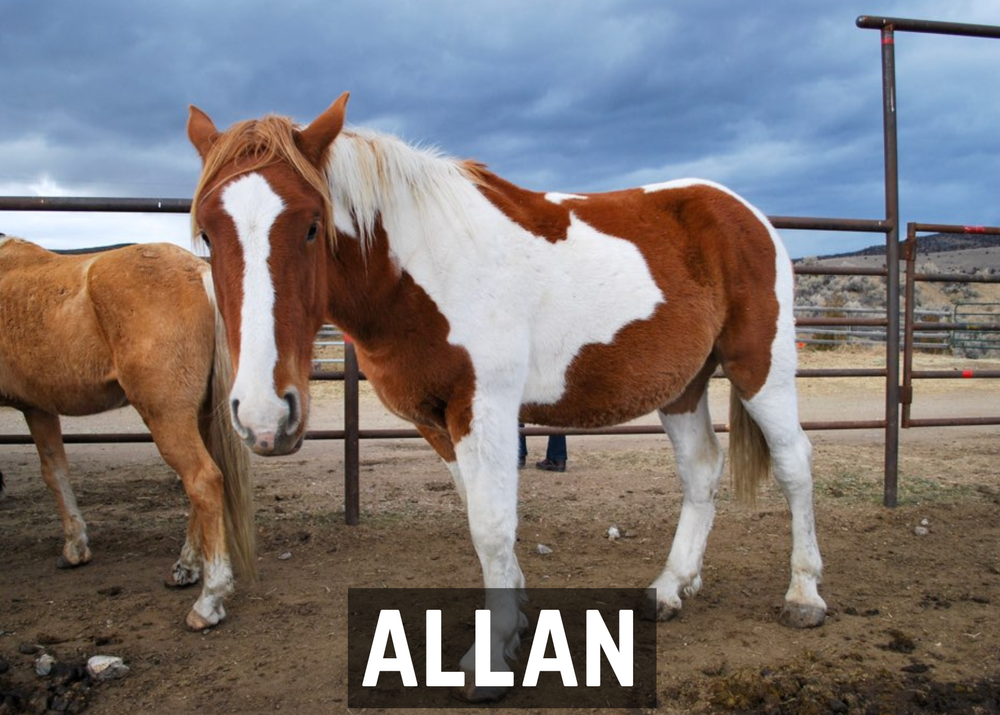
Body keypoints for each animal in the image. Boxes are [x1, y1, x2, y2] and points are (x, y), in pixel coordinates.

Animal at [0, 237, 256, 630]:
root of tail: (198, 271)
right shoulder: (38, 407)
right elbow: (55, 471)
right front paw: (75, 547)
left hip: (166, 415)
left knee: (203, 480)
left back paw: (208, 600)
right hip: (196, 413)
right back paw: (185, 568)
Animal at [186, 93, 826, 698]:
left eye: (312, 224)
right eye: (207, 235)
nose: (265, 417)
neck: (420, 269)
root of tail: (747, 214)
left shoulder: (484, 406)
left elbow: (491, 525)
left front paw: (489, 664)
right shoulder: (438, 422)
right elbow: (479, 515)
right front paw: (512, 625)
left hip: (759, 367)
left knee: (794, 464)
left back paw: (803, 594)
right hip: (683, 386)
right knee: (701, 470)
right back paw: (670, 588)